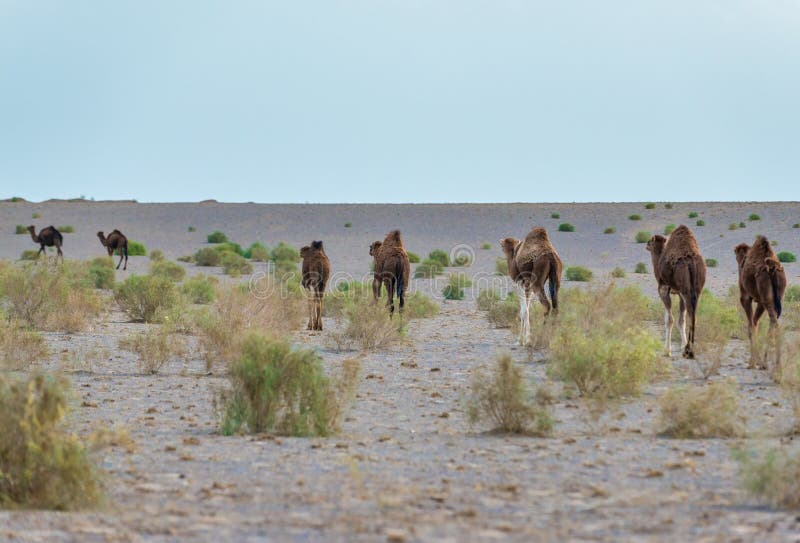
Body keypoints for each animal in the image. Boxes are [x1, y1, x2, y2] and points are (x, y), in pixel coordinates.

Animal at [646, 225, 706, 359]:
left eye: (651, 242)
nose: (646, 244)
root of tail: (691, 262)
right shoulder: (679, 293)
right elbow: (681, 320)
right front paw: (683, 346)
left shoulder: (663, 288)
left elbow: (669, 319)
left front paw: (667, 351)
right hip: (697, 290)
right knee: (693, 316)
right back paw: (689, 349)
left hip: (686, 291)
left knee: (690, 315)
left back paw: (689, 351)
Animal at [735, 236, 786, 370]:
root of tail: (772, 269)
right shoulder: (760, 302)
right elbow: (755, 323)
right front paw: (756, 361)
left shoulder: (745, 297)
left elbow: (751, 326)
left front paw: (752, 362)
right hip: (776, 297)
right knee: (772, 323)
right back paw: (766, 361)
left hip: (766, 298)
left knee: (775, 324)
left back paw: (775, 364)